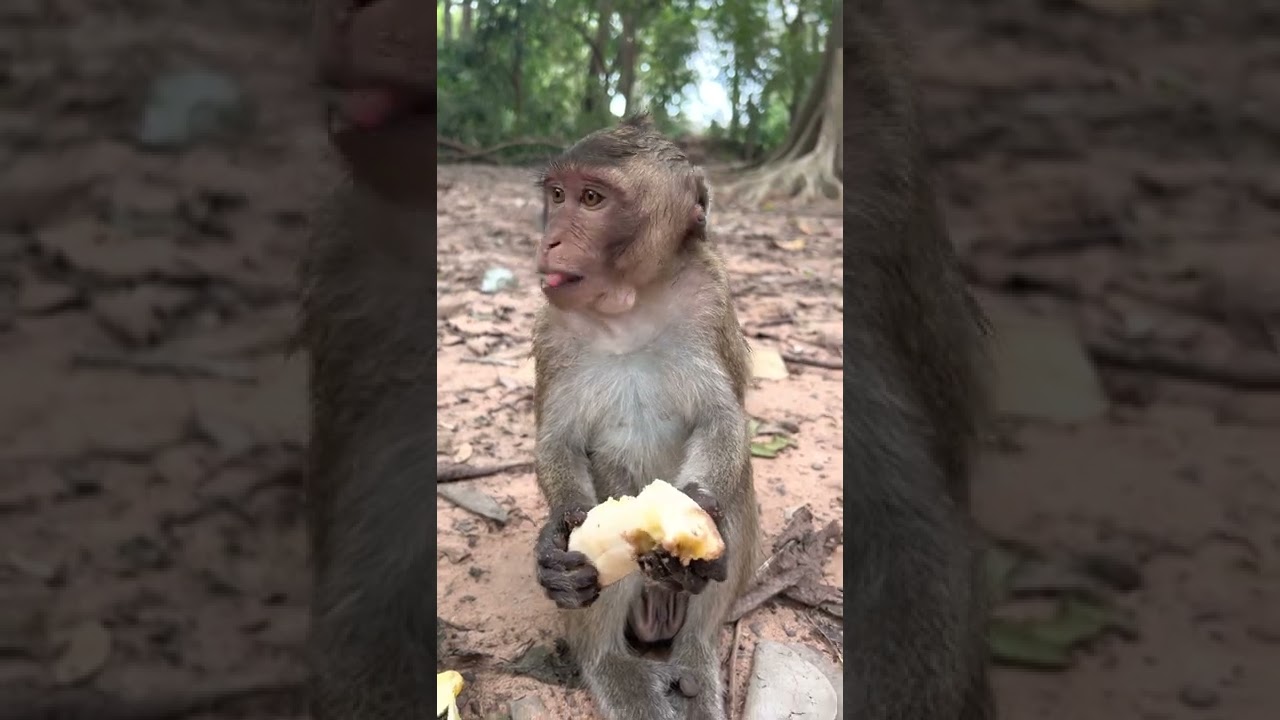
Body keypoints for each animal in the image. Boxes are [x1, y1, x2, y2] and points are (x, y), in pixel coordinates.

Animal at [530, 115, 760, 720]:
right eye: (557, 196)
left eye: (592, 199)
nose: (549, 241)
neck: (628, 307)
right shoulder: (551, 330)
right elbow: (556, 441)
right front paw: (560, 528)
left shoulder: (711, 300)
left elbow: (722, 421)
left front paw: (700, 509)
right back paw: (614, 667)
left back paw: (694, 650)